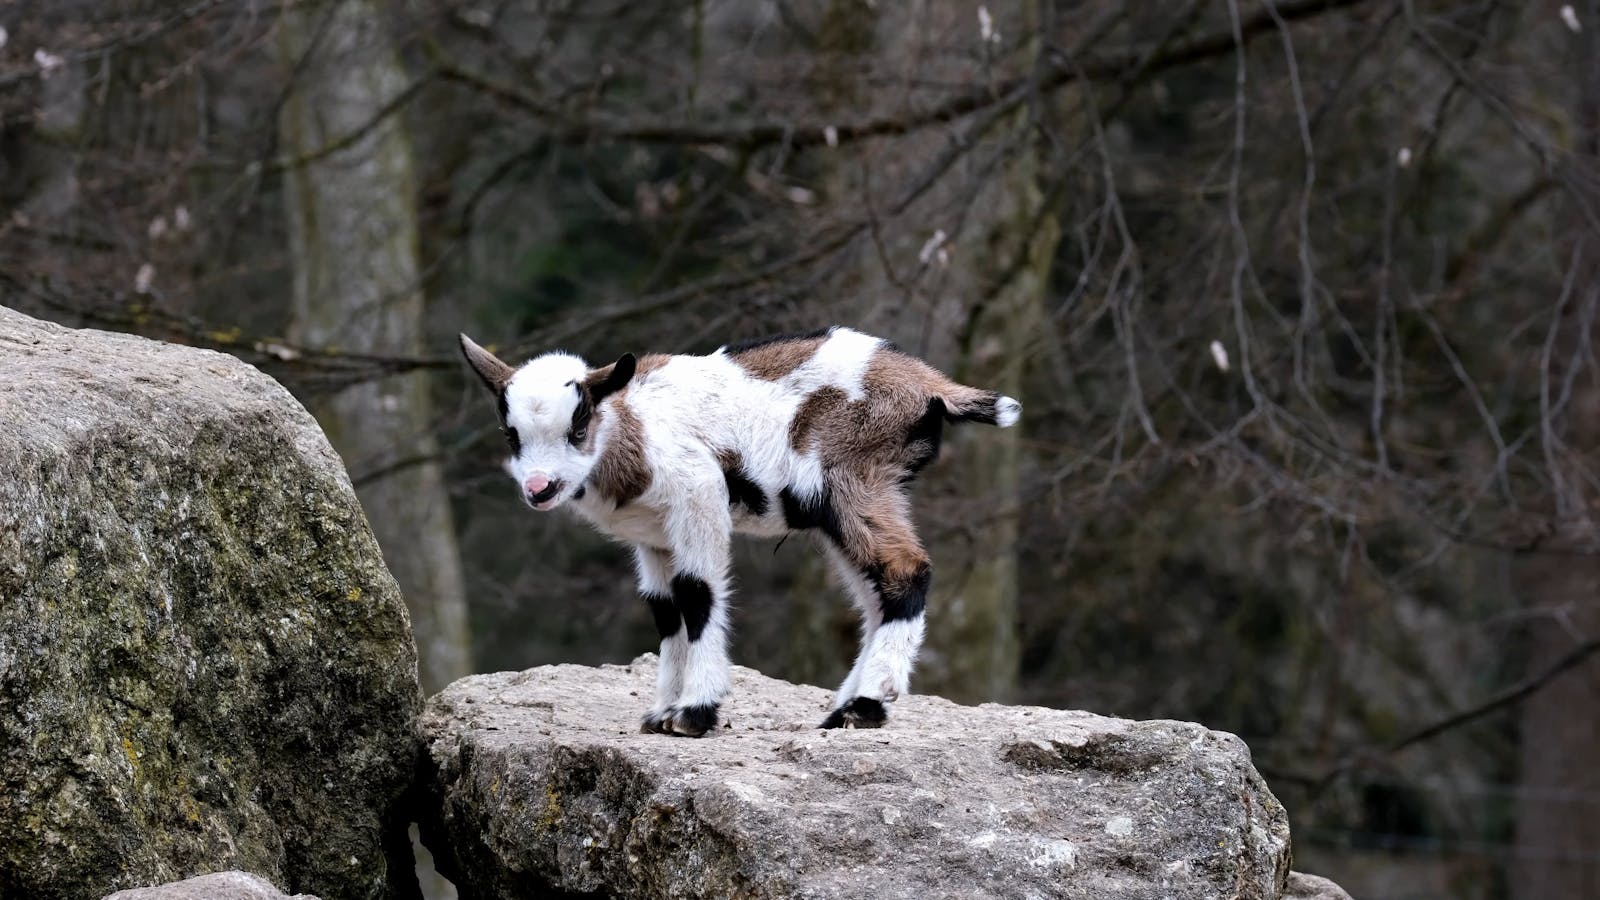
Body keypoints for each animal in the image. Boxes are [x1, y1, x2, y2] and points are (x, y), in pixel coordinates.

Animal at [459, 327, 1020, 736]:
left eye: (578, 428)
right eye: (512, 435)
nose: (539, 487)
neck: (633, 429)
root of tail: (931, 384)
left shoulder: (698, 494)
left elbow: (697, 593)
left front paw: (694, 713)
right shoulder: (654, 536)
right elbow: (665, 609)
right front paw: (661, 713)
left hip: (851, 479)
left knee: (903, 570)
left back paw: (865, 704)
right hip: (842, 502)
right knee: (873, 594)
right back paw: (845, 708)